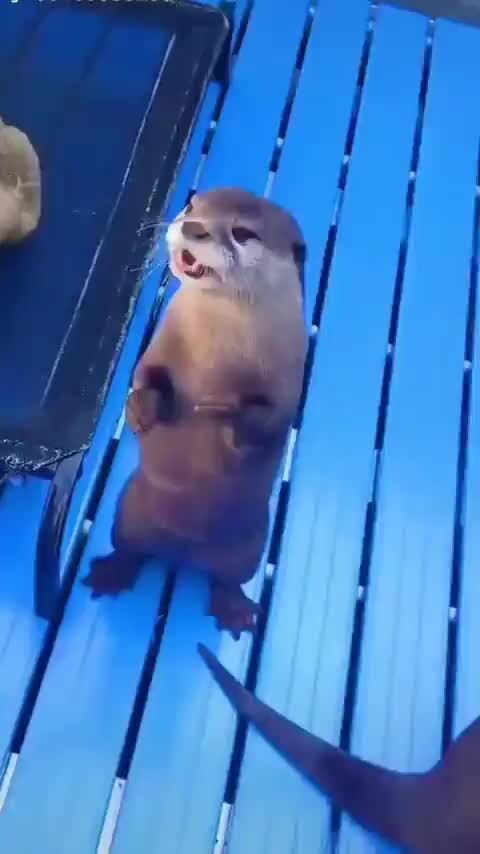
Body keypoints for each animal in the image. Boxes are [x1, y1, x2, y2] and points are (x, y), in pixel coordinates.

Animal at [83, 188, 308, 638]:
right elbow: (143, 375)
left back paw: (233, 609)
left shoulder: (289, 383)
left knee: (227, 579)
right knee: (131, 549)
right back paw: (112, 572)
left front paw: (222, 411)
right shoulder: (160, 345)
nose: (191, 226)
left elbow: (269, 422)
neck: (213, 354)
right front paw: (141, 410)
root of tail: (182, 553)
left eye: (243, 233)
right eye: (192, 207)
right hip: (127, 513)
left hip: (249, 548)